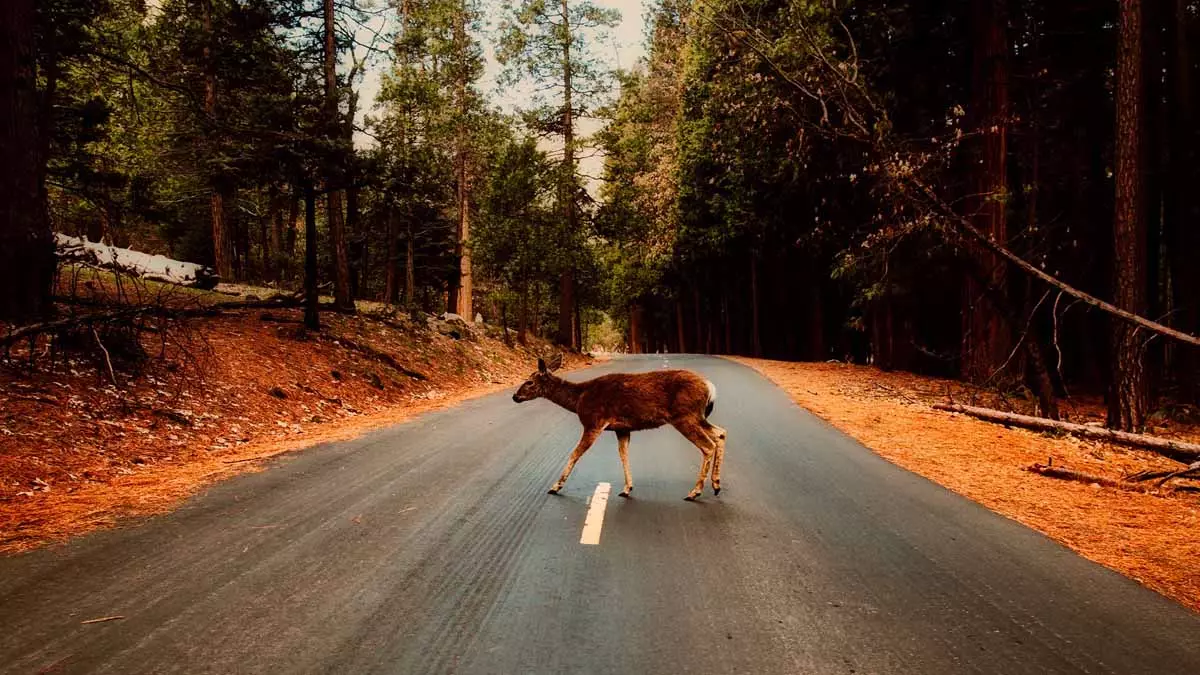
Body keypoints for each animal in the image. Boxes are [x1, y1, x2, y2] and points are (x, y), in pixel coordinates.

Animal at [511, 353, 724, 499]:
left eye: (529, 382)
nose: (515, 396)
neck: (579, 398)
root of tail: (710, 386)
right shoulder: (622, 428)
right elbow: (623, 454)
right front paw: (627, 488)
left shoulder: (594, 422)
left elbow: (575, 453)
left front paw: (555, 487)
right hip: (697, 416)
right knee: (720, 433)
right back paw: (716, 485)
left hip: (685, 416)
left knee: (708, 445)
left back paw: (695, 492)